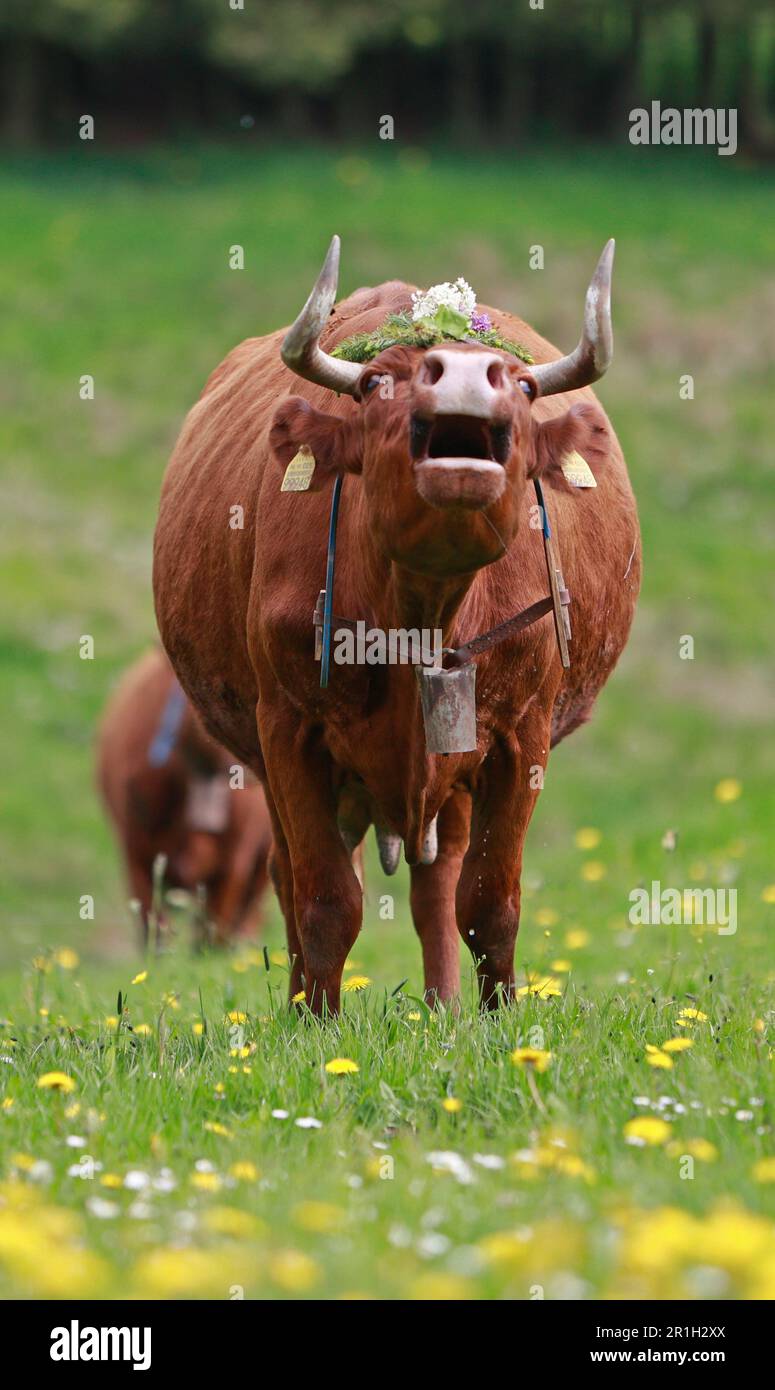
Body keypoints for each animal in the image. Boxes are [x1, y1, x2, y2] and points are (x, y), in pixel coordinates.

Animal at [153, 236, 641, 1012]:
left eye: (524, 388)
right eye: (378, 383)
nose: (467, 375)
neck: (424, 612)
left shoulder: (520, 734)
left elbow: (489, 903)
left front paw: (498, 1020)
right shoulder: (287, 729)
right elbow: (325, 900)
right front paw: (316, 1024)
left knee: (437, 888)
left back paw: (443, 1008)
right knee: (289, 878)